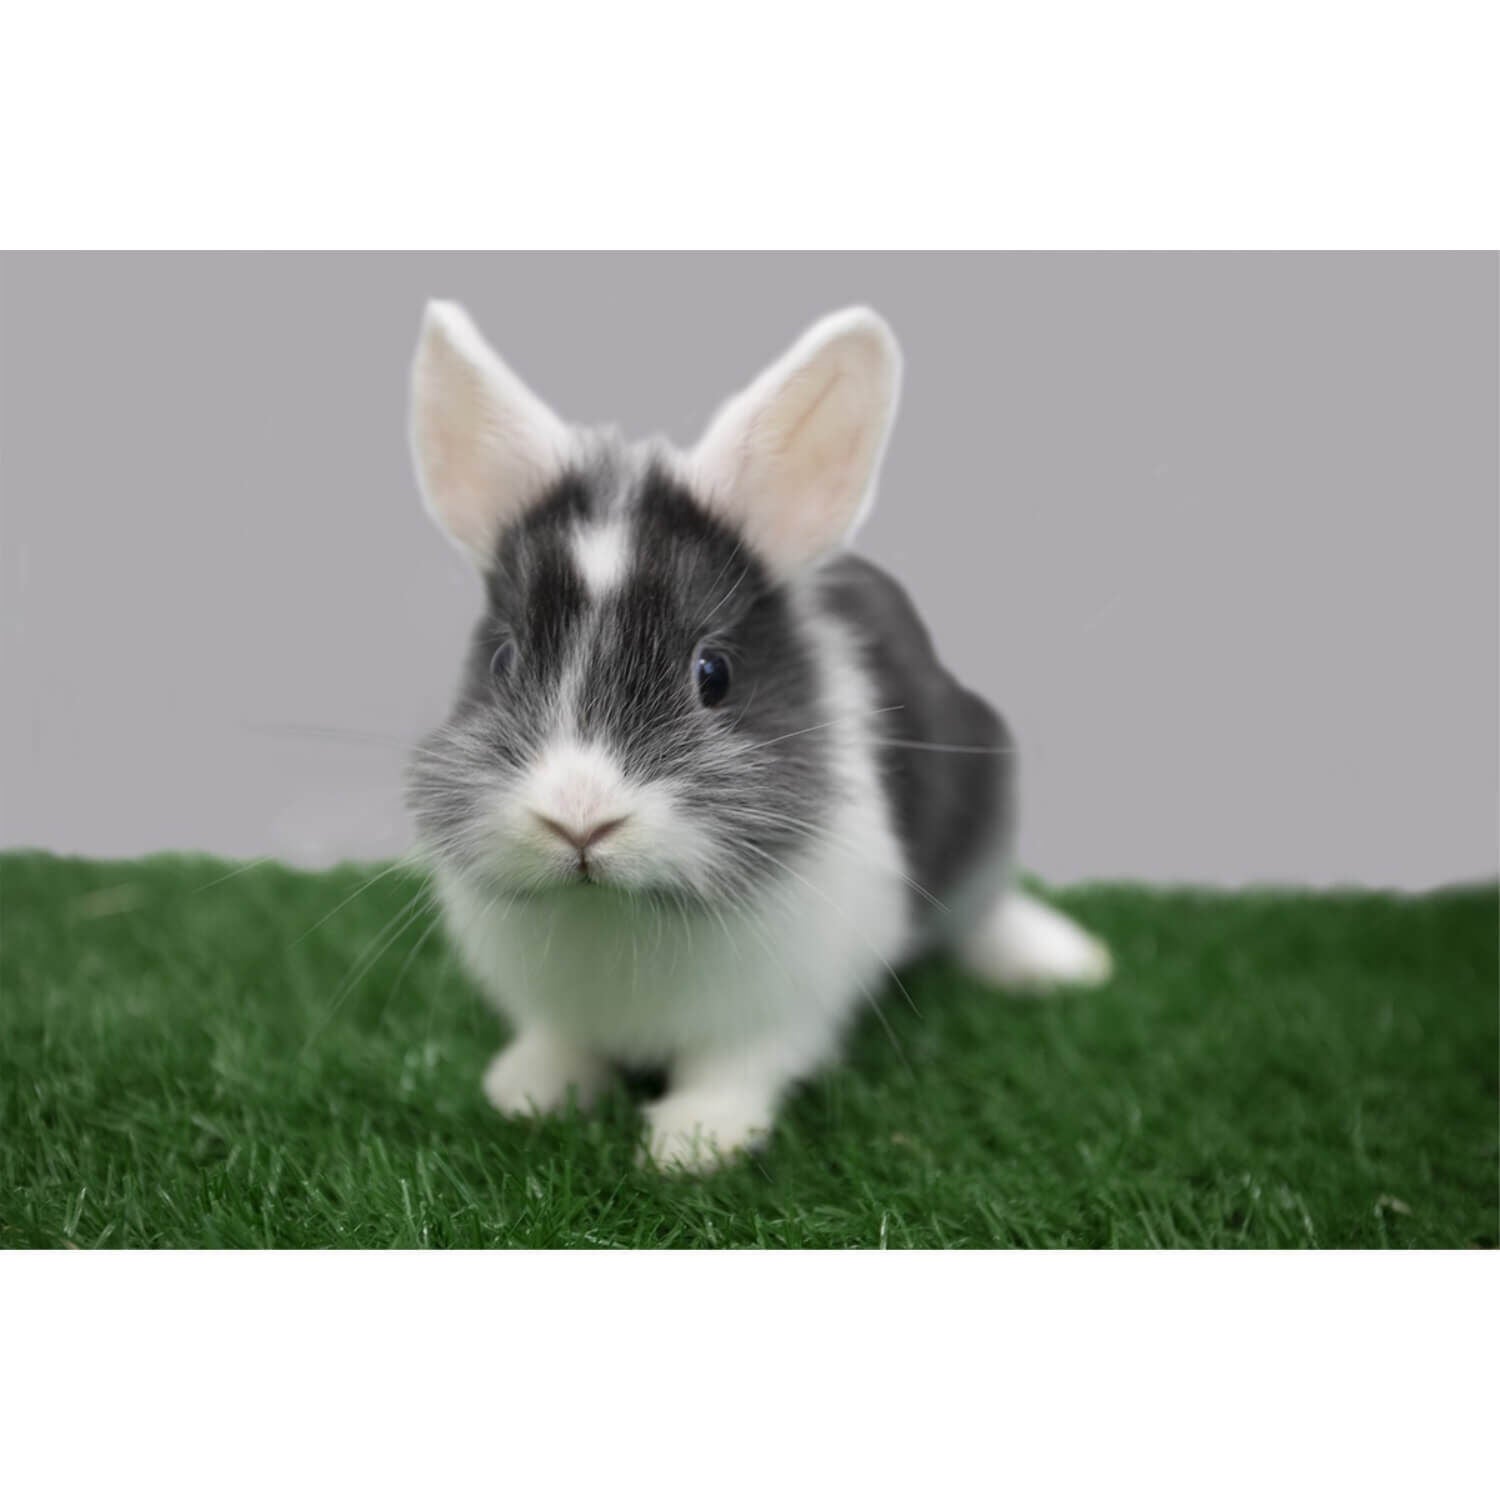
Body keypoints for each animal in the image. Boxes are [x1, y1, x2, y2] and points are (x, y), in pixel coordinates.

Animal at [404, 300, 1112, 1173]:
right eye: (503, 659)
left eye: (714, 674)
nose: (579, 821)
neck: (622, 911)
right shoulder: (557, 1005)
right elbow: (563, 1042)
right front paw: (529, 1094)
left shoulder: (772, 1016)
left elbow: (733, 1071)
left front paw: (692, 1146)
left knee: (984, 911)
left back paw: (1062, 962)